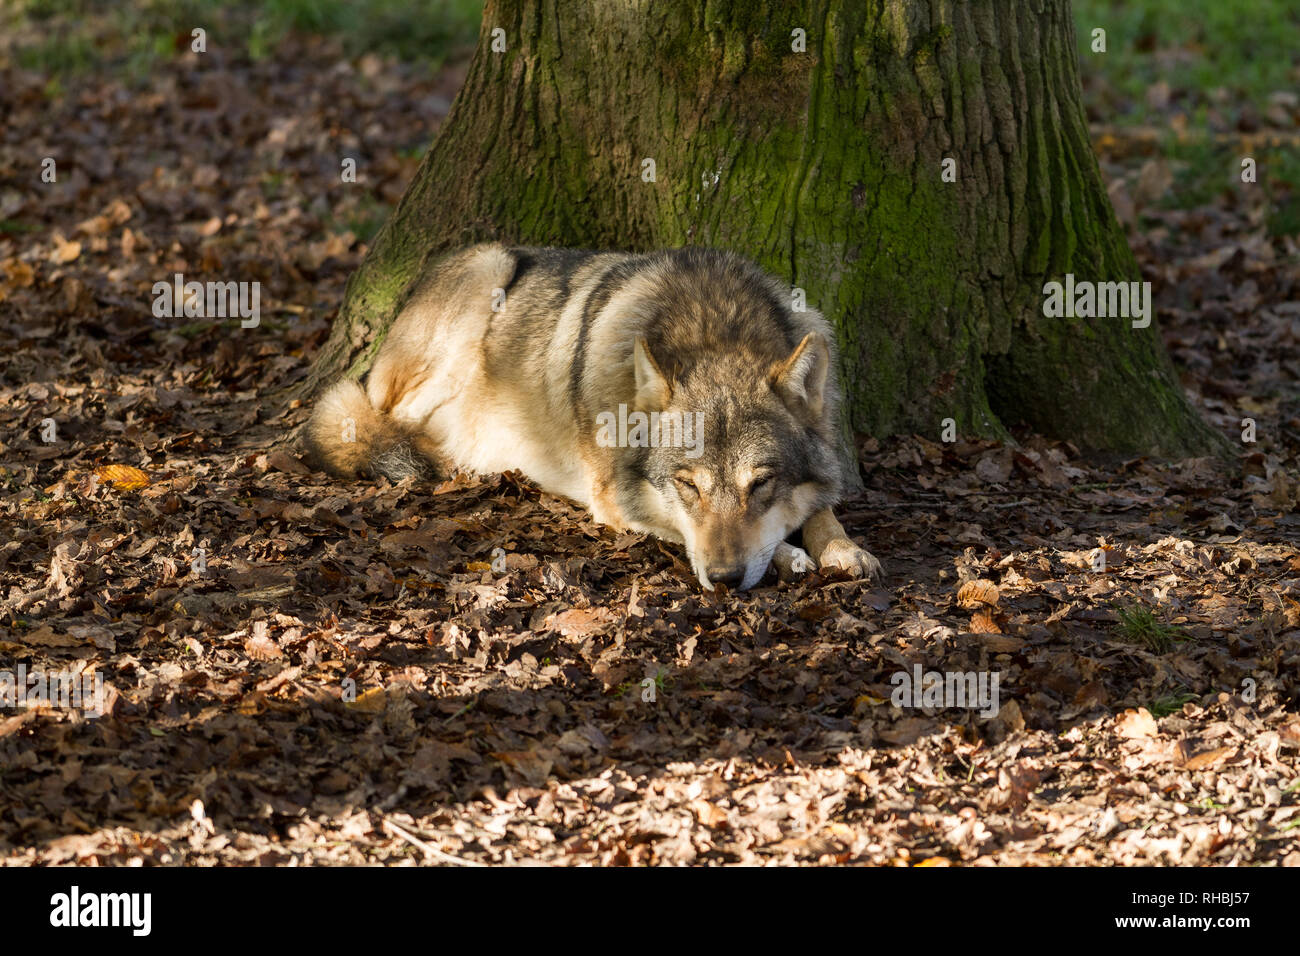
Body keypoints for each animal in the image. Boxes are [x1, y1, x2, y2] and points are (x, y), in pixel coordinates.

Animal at [305, 244, 881, 590]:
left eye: (760, 484)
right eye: (687, 486)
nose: (723, 578)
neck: (714, 327)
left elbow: (822, 510)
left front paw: (845, 549)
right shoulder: (615, 500)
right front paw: (790, 555)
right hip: (488, 277)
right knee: (386, 421)